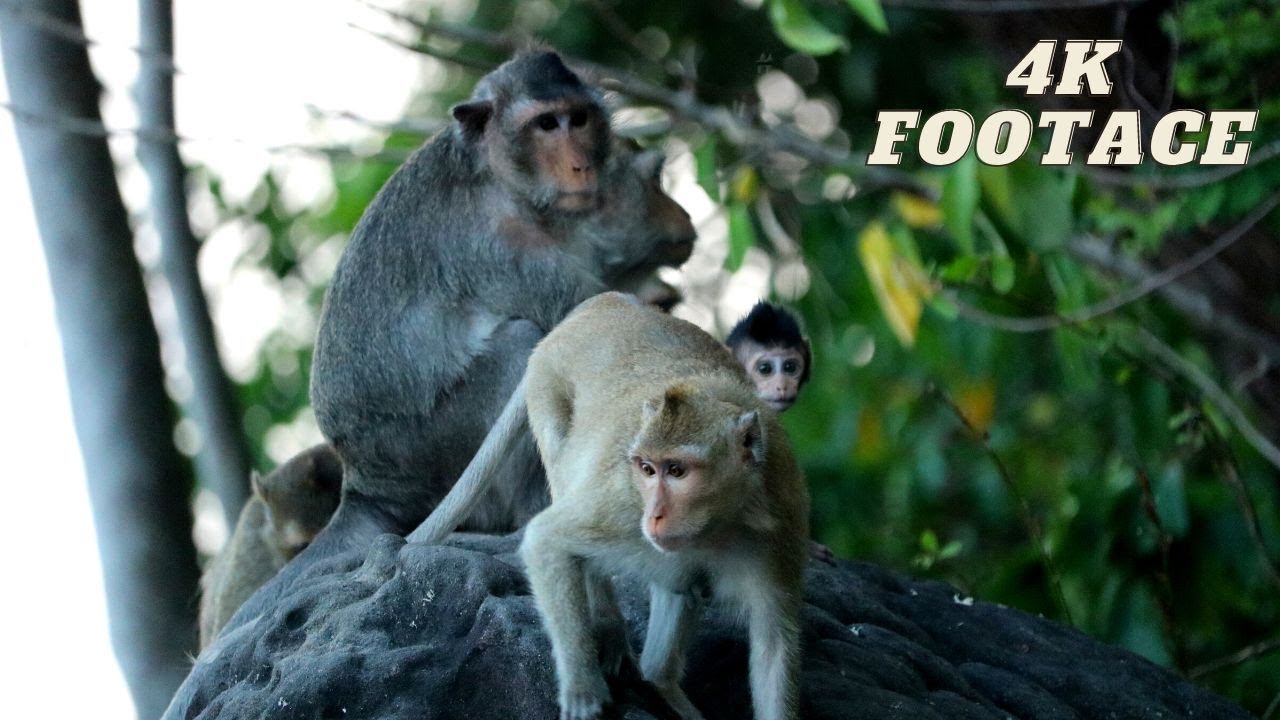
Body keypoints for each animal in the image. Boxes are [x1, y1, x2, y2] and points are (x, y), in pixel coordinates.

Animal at [412, 293, 807, 720]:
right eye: (648, 469)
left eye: (678, 471)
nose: (655, 516)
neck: (718, 525)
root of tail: (605, 302)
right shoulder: (624, 507)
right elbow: (546, 540)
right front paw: (582, 688)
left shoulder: (780, 524)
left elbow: (773, 646)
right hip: (546, 381)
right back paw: (610, 629)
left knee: (679, 583)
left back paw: (660, 679)